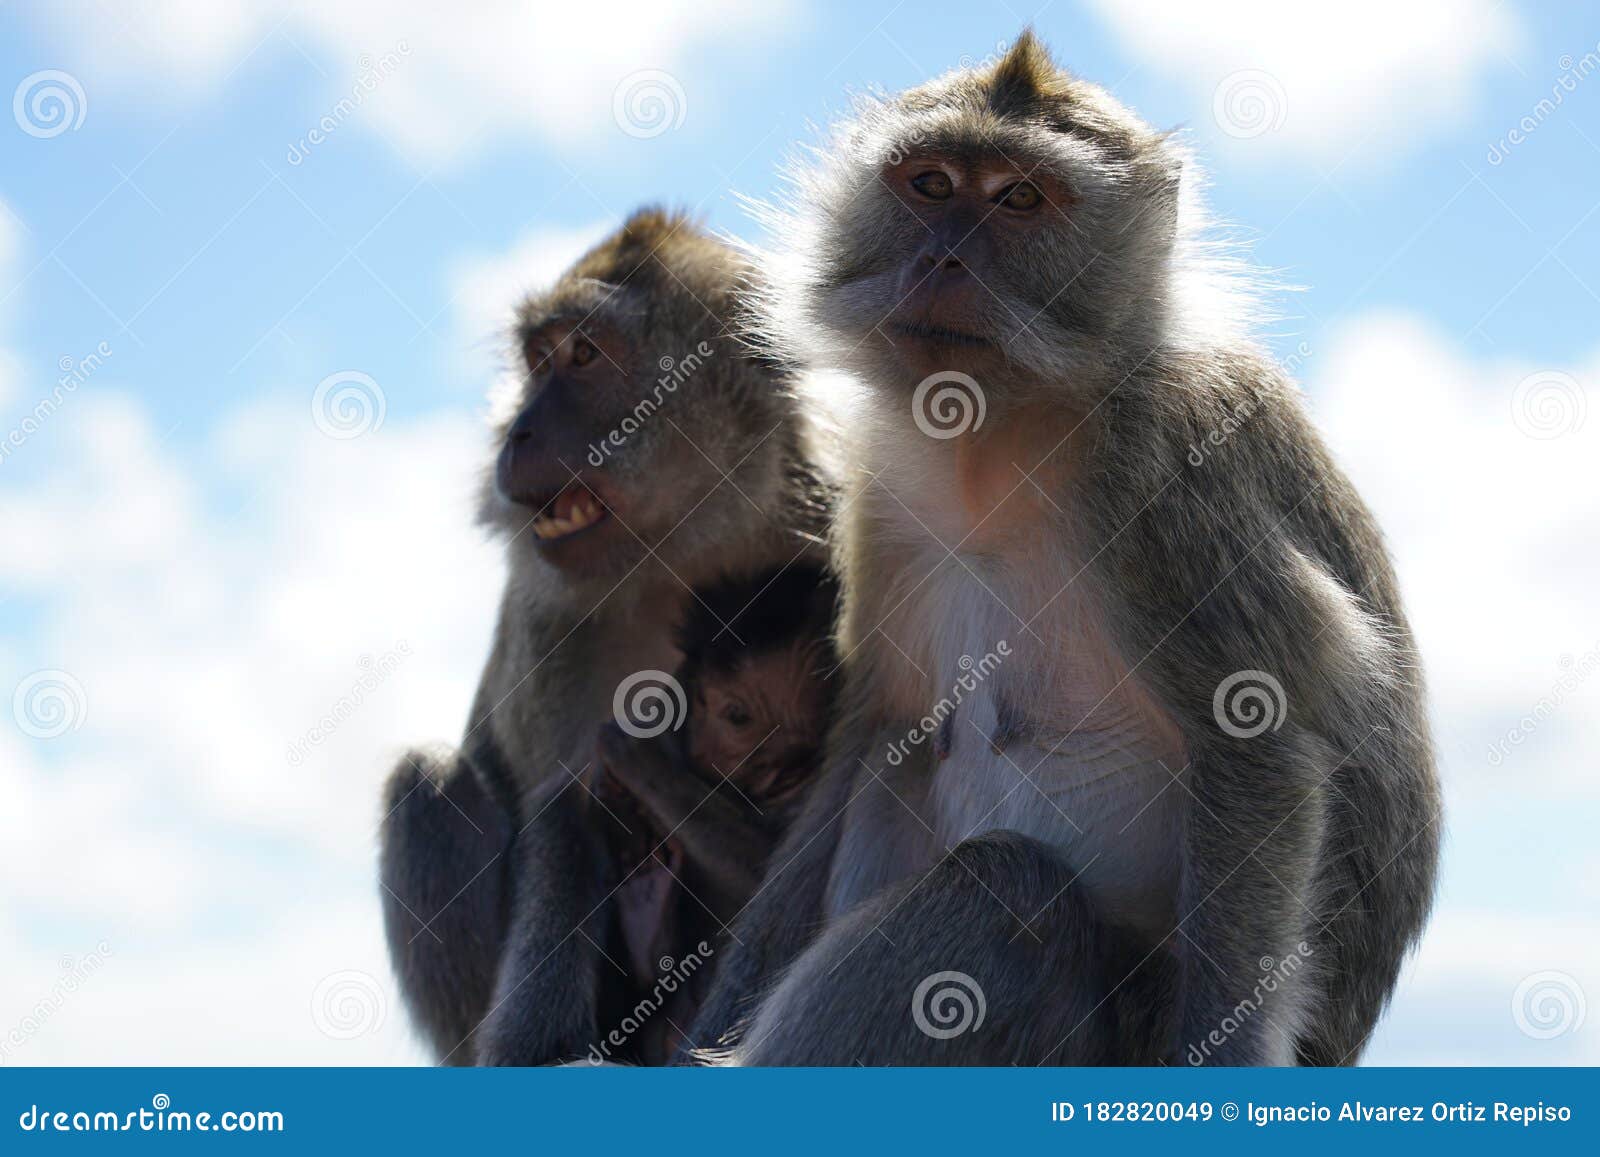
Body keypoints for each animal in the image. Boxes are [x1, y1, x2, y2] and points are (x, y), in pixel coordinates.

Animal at [688, 32, 1441, 1066]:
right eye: (931, 183)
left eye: (1019, 199)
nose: (944, 256)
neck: (1000, 435)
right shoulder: (881, 499)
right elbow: (874, 734)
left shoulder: (1168, 473)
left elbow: (1260, 743)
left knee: (1007, 896)